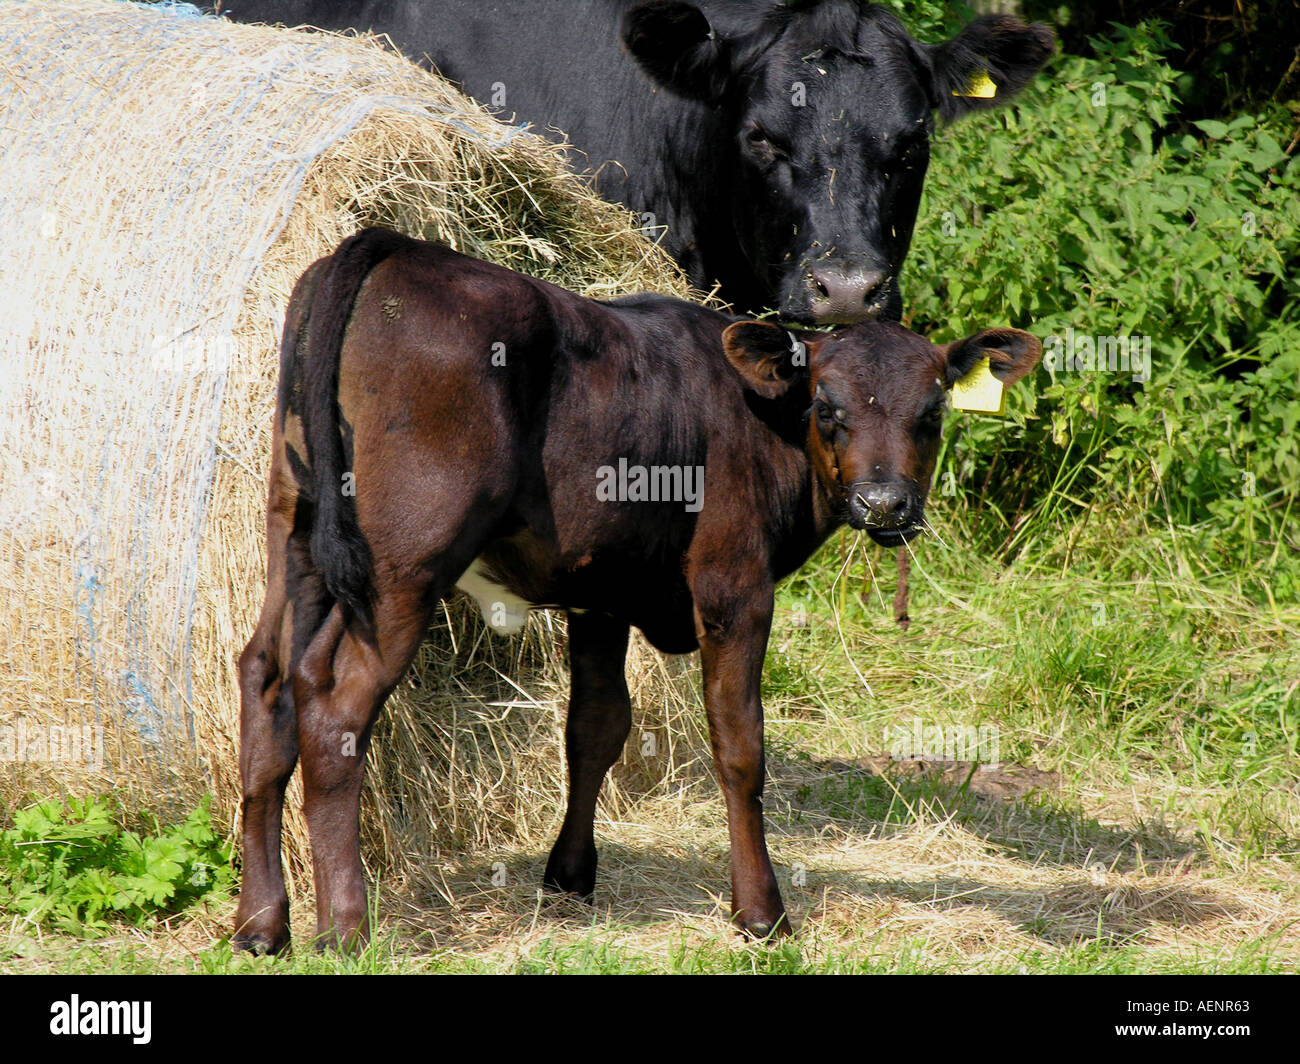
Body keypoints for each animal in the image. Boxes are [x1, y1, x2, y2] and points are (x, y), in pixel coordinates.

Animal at [232, 227, 1041, 952]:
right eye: (829, 409)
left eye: (931, 414)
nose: (885, 505)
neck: (762, 419)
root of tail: (389, 246)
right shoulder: (735, 588)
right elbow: (739, 745)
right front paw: (762, 914)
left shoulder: (601, 591)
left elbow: (595, 728)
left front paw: (569, 874)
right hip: (405, 562)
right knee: (333, 707)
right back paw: (344, 928)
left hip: (295, 532)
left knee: (267, 679)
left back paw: (262, 924)